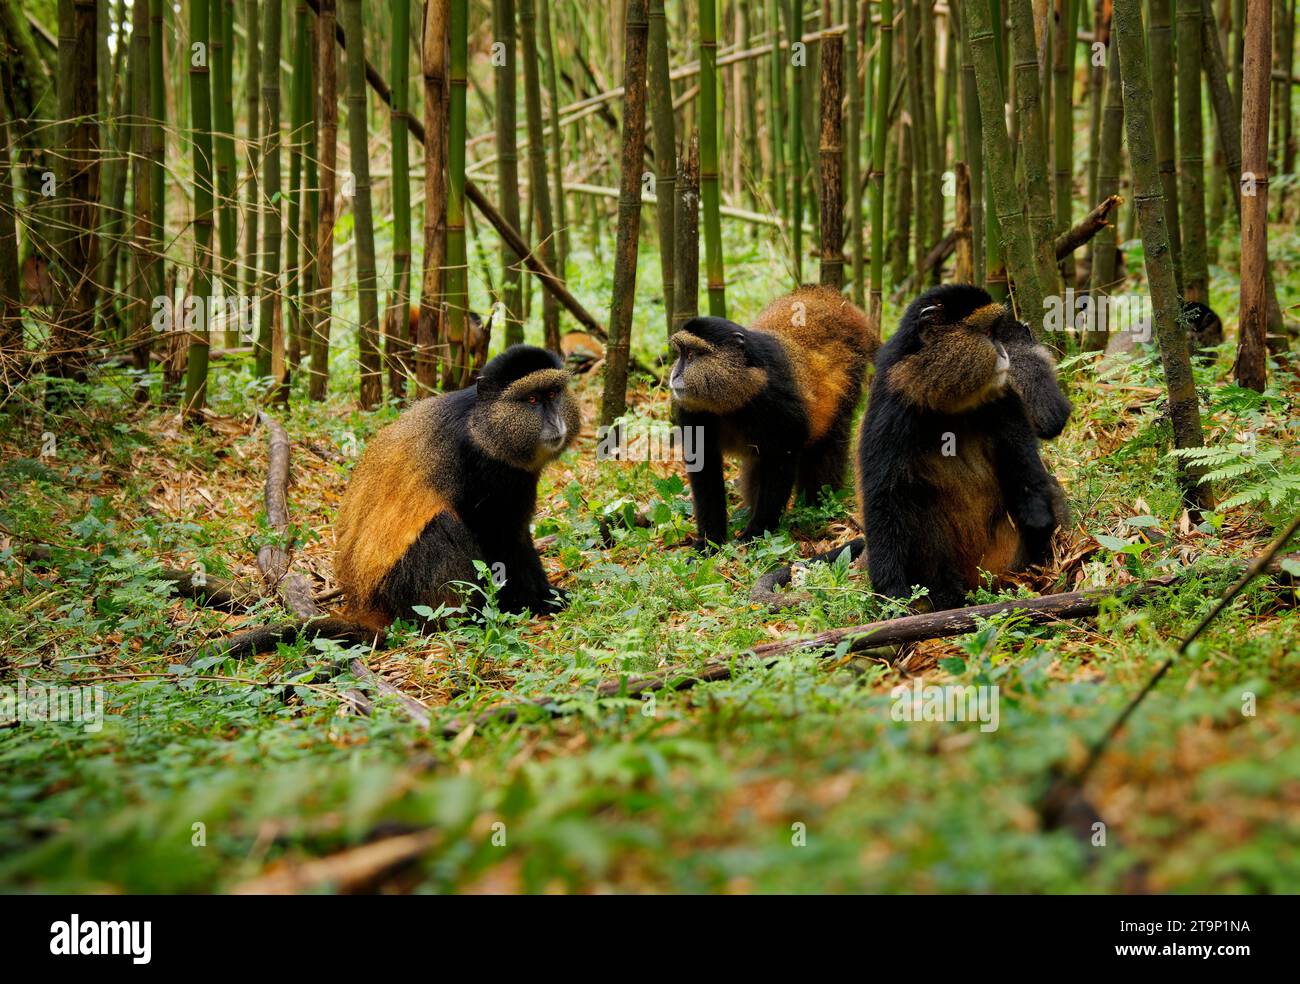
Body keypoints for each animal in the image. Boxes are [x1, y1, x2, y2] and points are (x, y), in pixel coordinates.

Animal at [668, 284, 879, 548]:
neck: (739, 389)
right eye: (680, 354)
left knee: (826, 446)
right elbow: (704, 466)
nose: (674, 374)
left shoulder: (779, 404)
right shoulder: (692, 412)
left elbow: (782, 459)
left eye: (690, 355)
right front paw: (710, 542)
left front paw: (756, 533)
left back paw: (814, 504)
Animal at [858, 283, 1069, 611]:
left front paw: (1038, 519)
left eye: (997, 332)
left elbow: (1023, 460)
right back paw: (948, 595)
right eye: (987, 333)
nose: (1004, 351)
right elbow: (884, 495)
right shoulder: (890, 409)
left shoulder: (1005, 399)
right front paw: (891, 591)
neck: (948, 400)